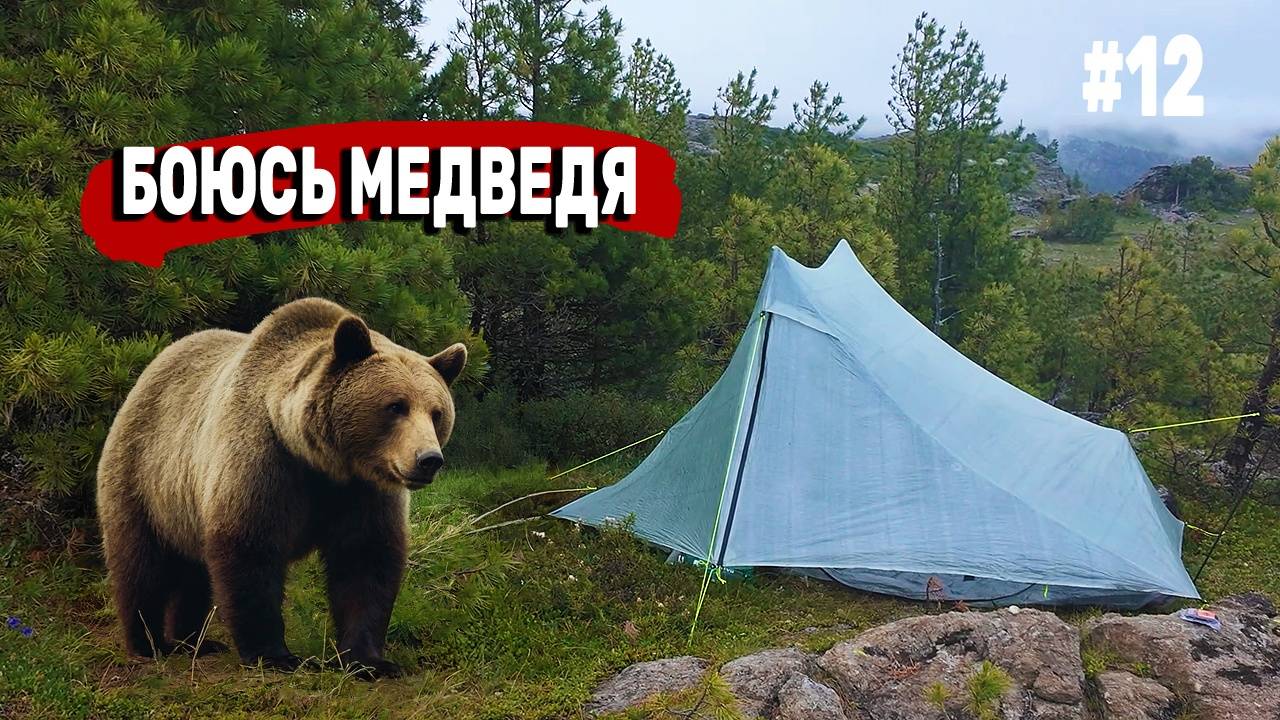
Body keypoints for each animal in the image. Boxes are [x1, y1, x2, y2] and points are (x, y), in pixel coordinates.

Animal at [96, 297, 466, 679]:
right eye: (395, 406)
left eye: (437, 412)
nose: (428, 459)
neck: (321, 461)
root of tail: (152, 367)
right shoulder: (265, 459)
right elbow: (250, 547)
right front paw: (276, 655)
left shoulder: (364, 490)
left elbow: (366, 559)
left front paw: (369, 660)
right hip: (144, 475)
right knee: (141, 564)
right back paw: (150, 643)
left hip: (186, 505)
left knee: (193, 573)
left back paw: (194, 641)